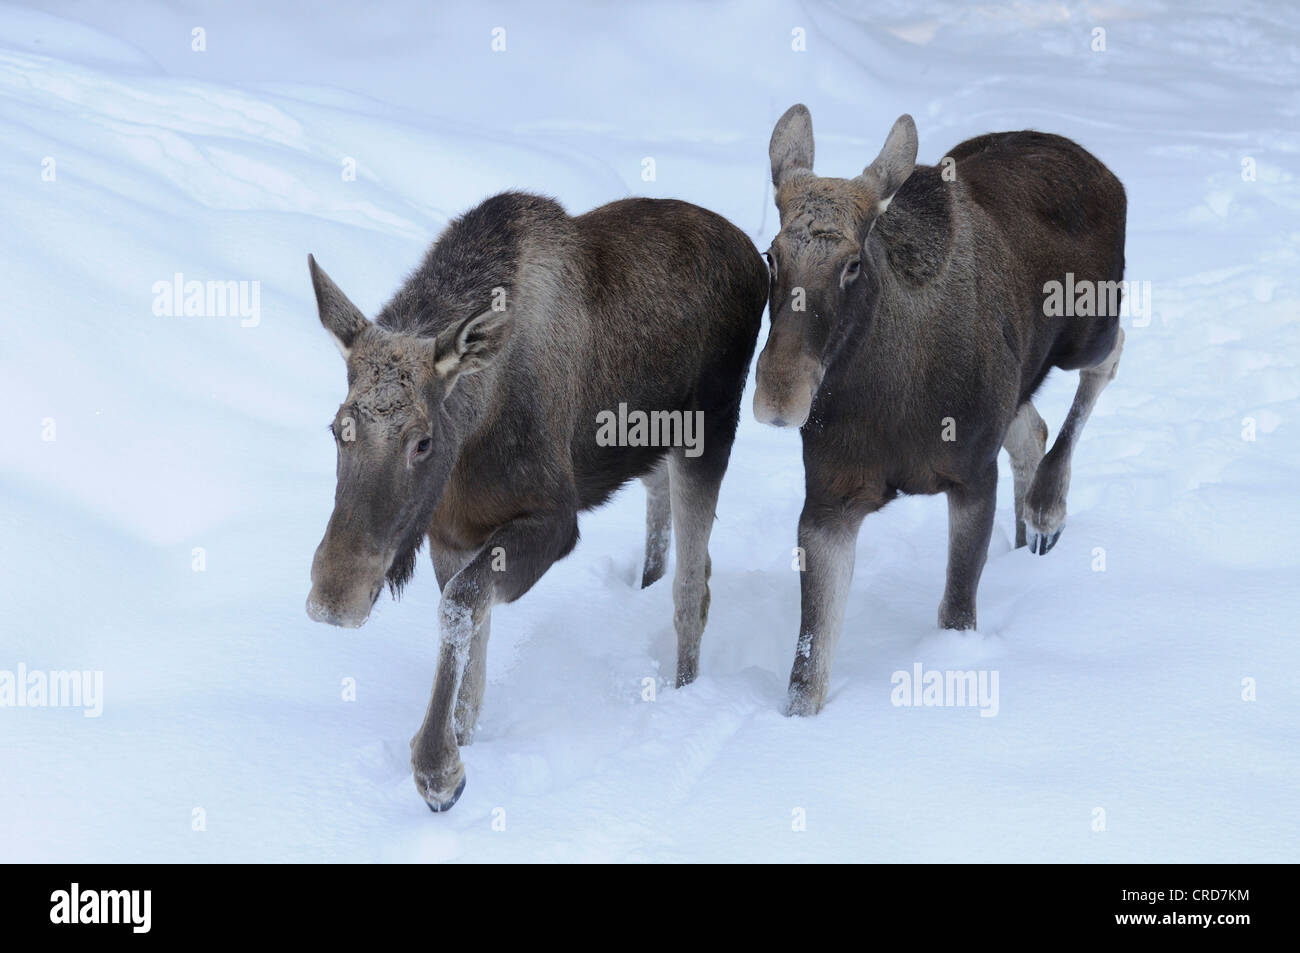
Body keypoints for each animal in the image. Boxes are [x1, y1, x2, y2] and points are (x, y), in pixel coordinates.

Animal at [305, 191, 768, 810]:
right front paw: (460, 745)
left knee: (694, 586)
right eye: (338, 428)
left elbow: (460, 606)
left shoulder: (554, 521)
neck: (474, 435)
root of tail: (759, 259)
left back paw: (684, 695)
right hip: (654, 442)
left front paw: (437, 769)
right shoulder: (451, 534)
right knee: (658, 505)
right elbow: (468, 634)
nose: (336, 596)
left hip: (710, 429)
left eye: (422, 441)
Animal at [755, 105, 1126, 716]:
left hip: (1088, 328)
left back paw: (1046, 509)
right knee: (1032, 424)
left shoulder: (973, 475)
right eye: (771, 255)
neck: (889, 393)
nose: (779, 394)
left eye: (852, 263)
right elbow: (807, 674)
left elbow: (956, 613)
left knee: (1108, 358)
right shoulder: (830, 502)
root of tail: (1100, 167)